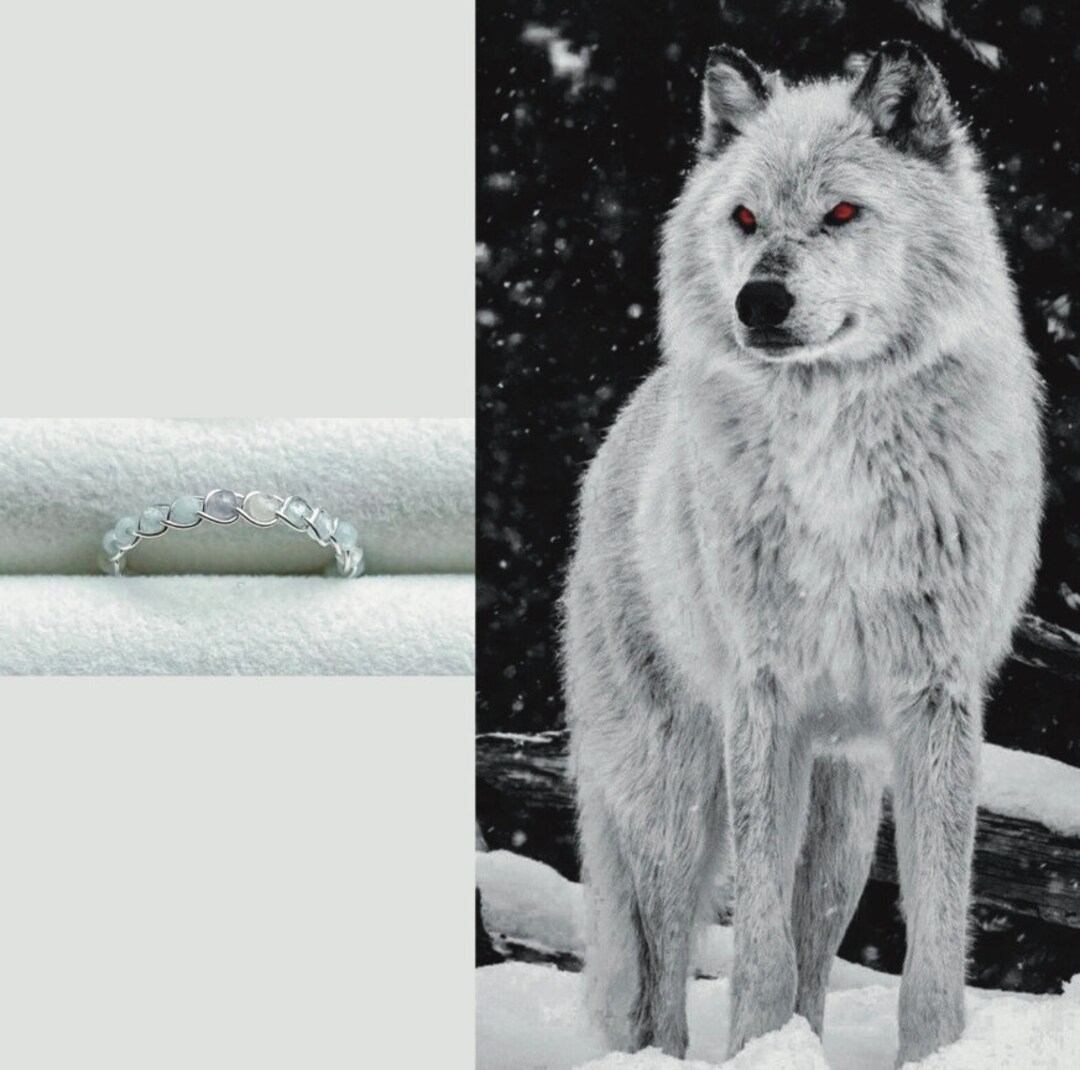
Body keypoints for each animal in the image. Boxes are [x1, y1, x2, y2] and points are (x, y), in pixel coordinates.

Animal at [561, 41, 1044, 1067]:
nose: (761, 300)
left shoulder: (933, 702)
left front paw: (933, 1052)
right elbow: (757, 952)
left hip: (846, 811)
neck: (838, 458)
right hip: (675, 795)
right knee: (663, 967)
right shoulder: (764, 702)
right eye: (745, 218)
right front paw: (757, 1044)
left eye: (843, 213)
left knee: (816, 924)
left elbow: (933, 944)